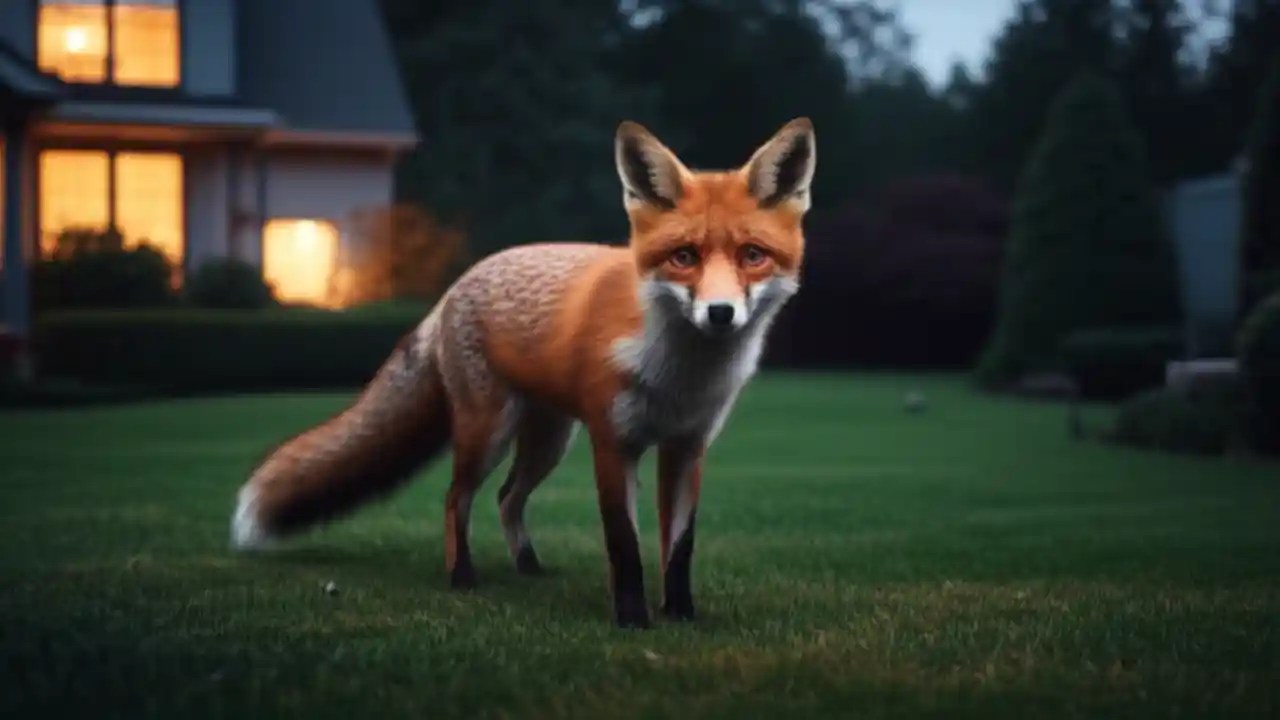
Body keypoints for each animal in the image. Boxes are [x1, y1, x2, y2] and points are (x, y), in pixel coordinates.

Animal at [231, 117, 817, 628]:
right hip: (488, 432)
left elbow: (680, 548)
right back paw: (462, 576)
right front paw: (632, 620)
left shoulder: (686, 449)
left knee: (507, 497)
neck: (680, 375)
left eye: (753, 255)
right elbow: (624, 544)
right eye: (684, 257)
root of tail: (457, 285)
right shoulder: (614, 444)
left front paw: (680, 614)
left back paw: (528, 566)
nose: (720, 313)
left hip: (548, 442)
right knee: (457, 497)